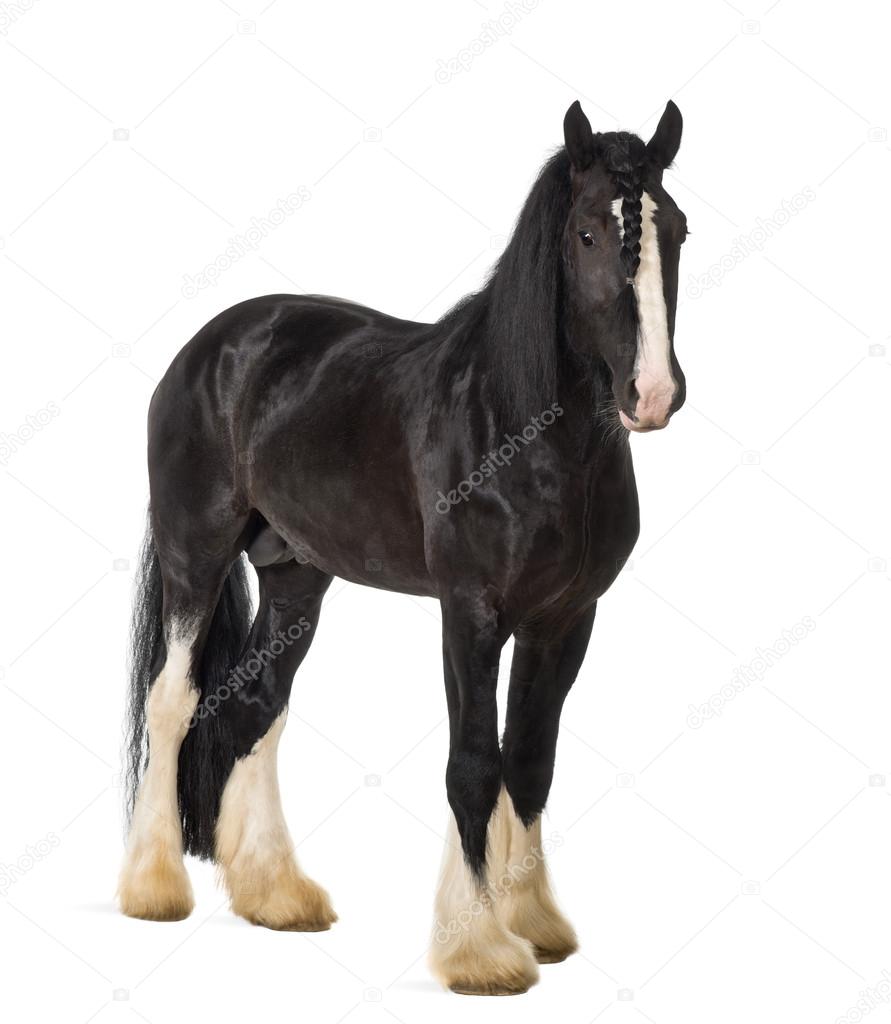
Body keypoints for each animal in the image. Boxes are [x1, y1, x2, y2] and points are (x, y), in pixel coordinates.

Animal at [118, 98, 688, 996]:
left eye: (680, 230)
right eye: (590, 233)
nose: (653, 394)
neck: (521, 429)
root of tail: (216, 342)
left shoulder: (564, 619)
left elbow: (529, 761)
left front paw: (533, 923)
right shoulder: (470, 612)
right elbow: (473, 763)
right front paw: (478, 949)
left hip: (297, 578)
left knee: (254, 705)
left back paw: (275, 895)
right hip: (192, 552)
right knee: (172, 700)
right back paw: (154, 887)